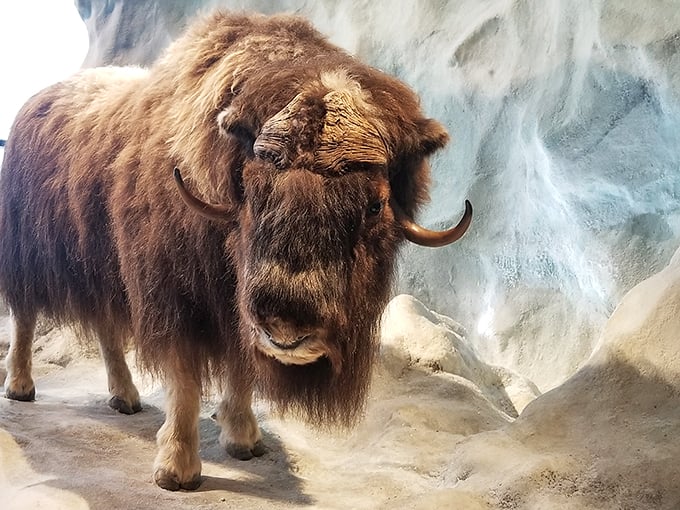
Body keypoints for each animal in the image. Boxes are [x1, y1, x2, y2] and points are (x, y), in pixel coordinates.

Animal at [0, 11, 471, 490]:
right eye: (252, 190)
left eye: (375, 205)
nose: (287, 327)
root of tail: (33, 102)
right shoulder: (176, 298)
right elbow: (185, 379)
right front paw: (176, 469)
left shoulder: (237, 314)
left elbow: (241, 369)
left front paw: (242, 436)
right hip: (27, 256)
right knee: (25, 316)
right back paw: (21, 386)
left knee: (106, 330)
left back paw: (125, 397)